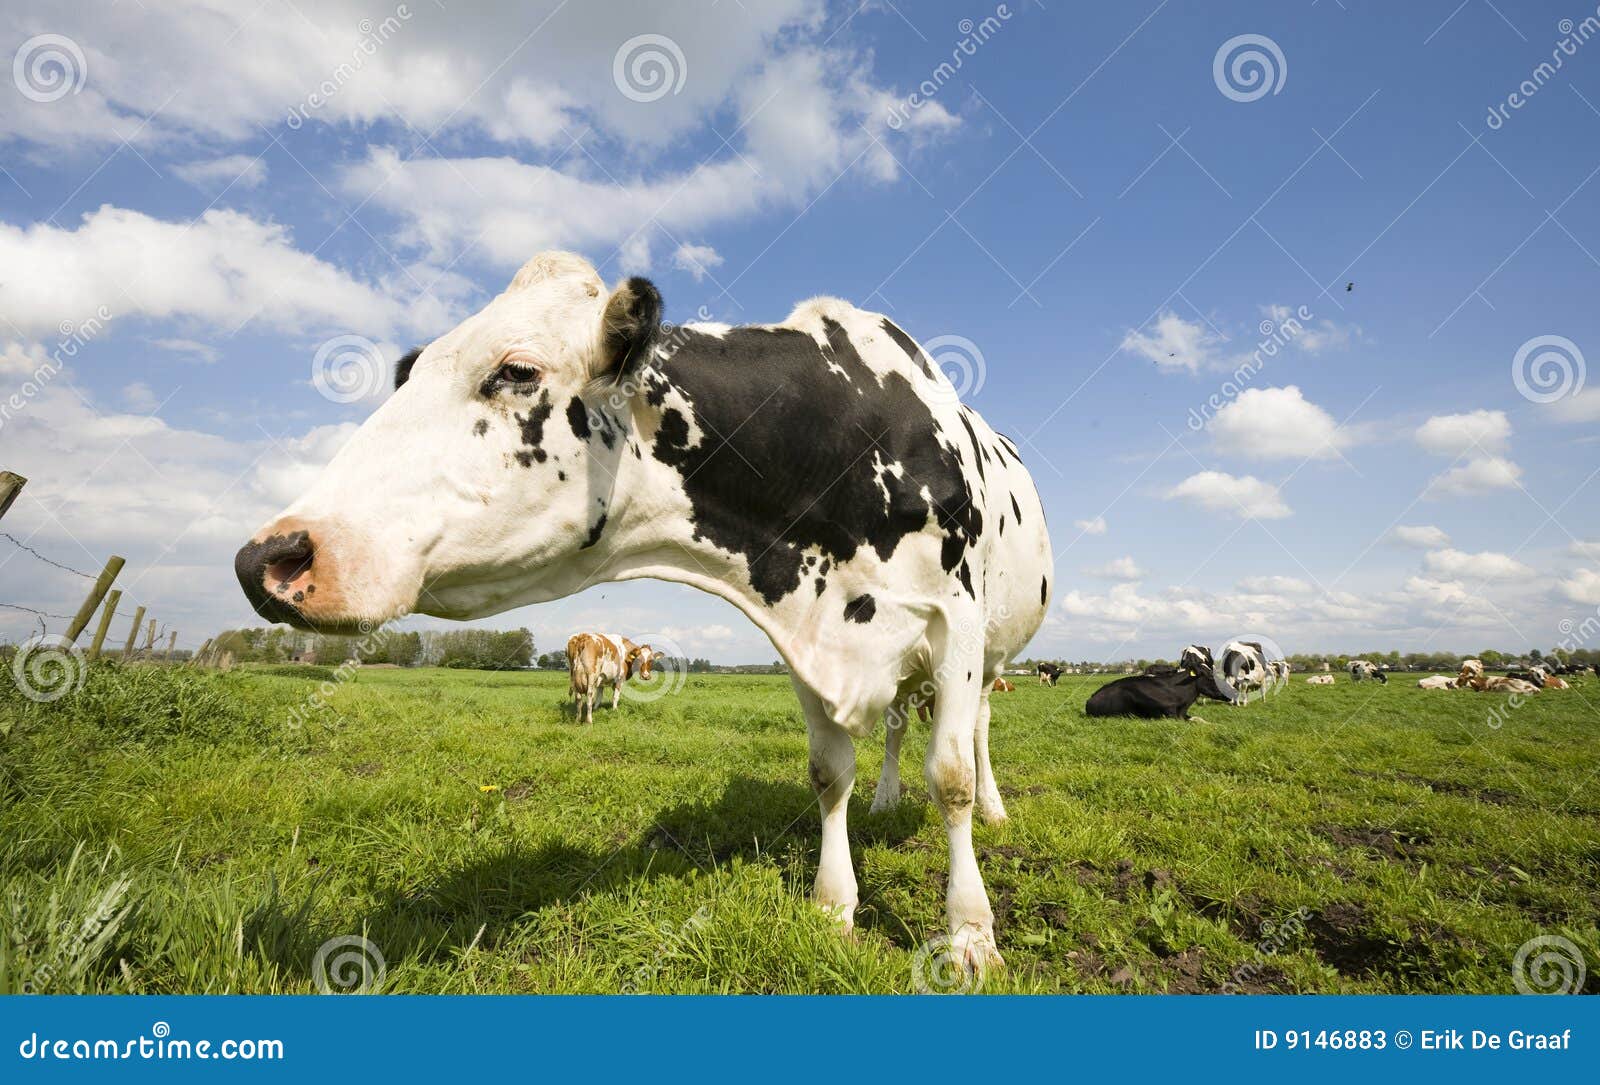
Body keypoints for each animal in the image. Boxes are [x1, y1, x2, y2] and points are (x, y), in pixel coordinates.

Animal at [234, 251, 1051, 974]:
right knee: (893, 728)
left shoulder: (956, 627)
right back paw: (884, 800)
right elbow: (829, 774)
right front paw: (832, 905)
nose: (267, 558)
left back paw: (996, 808)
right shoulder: (802, 641)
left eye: (516, 371)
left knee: (975, 732)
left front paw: (971, 933)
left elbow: (951, 777)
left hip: (989, 658)